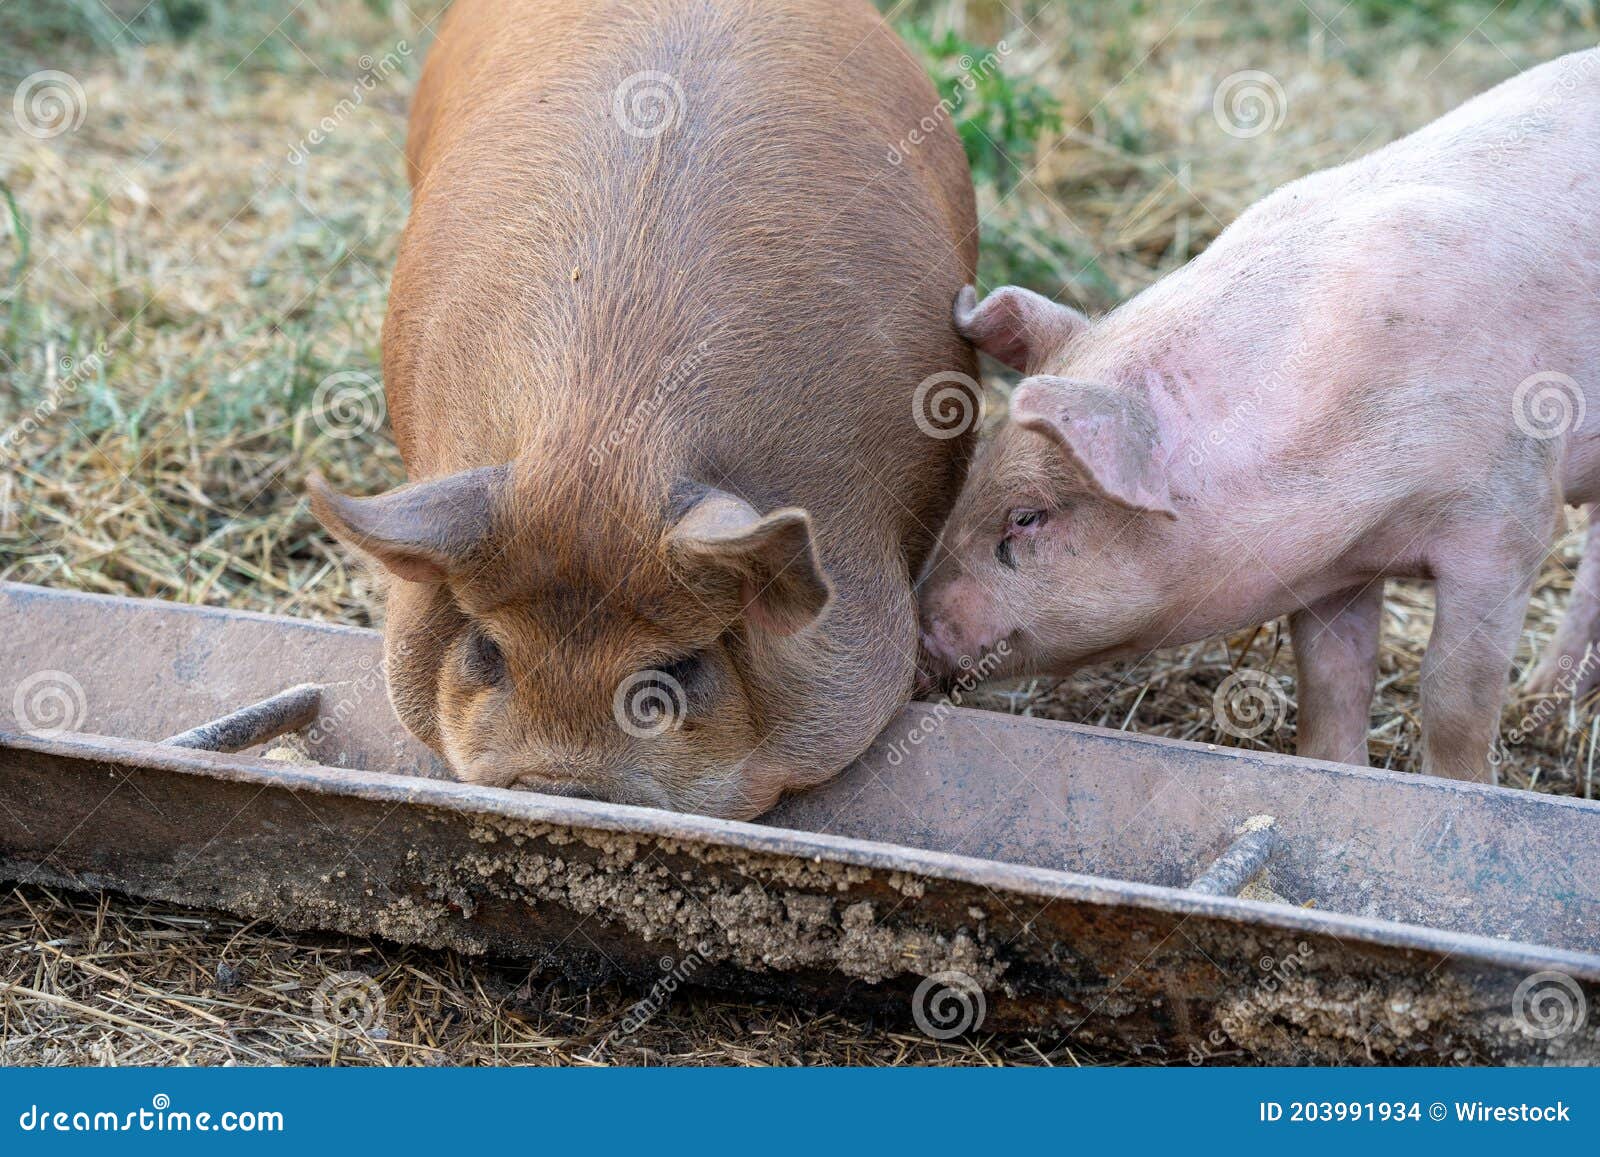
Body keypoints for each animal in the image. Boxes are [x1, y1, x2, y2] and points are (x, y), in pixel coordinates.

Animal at [918, 49, 1600, 785]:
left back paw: (1537, 695)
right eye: (974, 478)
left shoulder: (1510, 516)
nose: (919, 625)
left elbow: (1454, 692)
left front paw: (1461, 787)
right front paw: (1336, 771)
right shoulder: (1335, 566)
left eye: (1027, 516)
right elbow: (1332, 682)